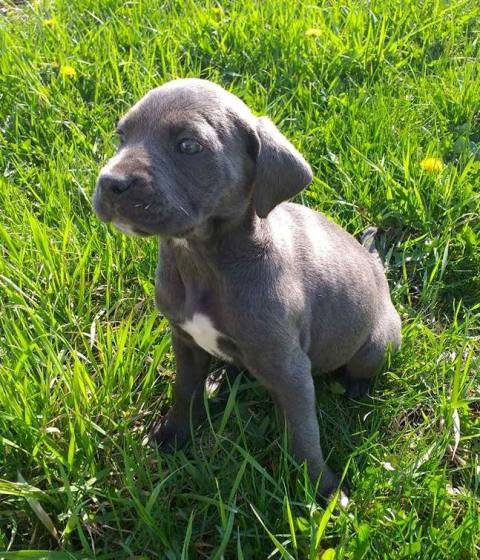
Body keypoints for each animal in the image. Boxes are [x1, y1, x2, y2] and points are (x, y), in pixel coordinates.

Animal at [91, 77, 402, 498]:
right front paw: (173, 436)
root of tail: (378, 274)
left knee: (363, 364)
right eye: (121, 136)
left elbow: (304, 437)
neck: (203, 258)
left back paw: (354, 386)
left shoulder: (290, 370)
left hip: (375, 345)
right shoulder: (185, 340)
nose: (110, 182)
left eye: (188, 146)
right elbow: (184, 391)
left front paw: (321, 493)